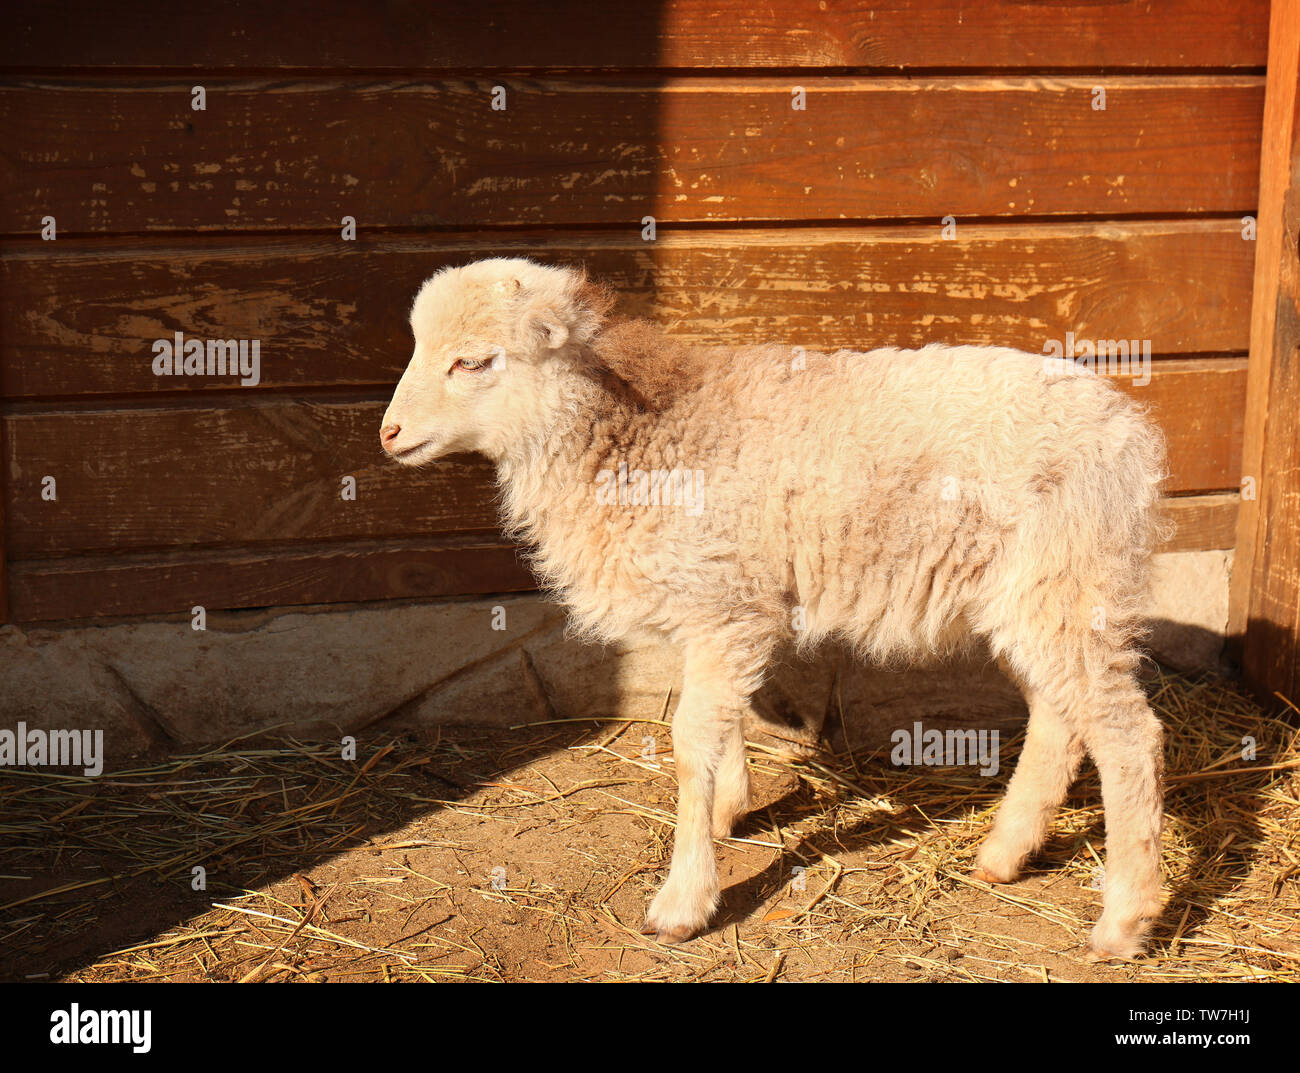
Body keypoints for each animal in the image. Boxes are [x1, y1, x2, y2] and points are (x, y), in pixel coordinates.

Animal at [380, 257, 1168, 960]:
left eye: (475, 361)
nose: (387, 433)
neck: (642, 432)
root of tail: (1133, 431)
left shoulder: (724, 605)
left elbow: (690, 738)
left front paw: (684, 900)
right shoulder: (722, 603)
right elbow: (722, 721)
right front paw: (732, 805)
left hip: (1070, 578)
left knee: (1128, 736)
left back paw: (1123, 921)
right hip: (1039, 594)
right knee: (1059, 717)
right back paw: (1004, 854)